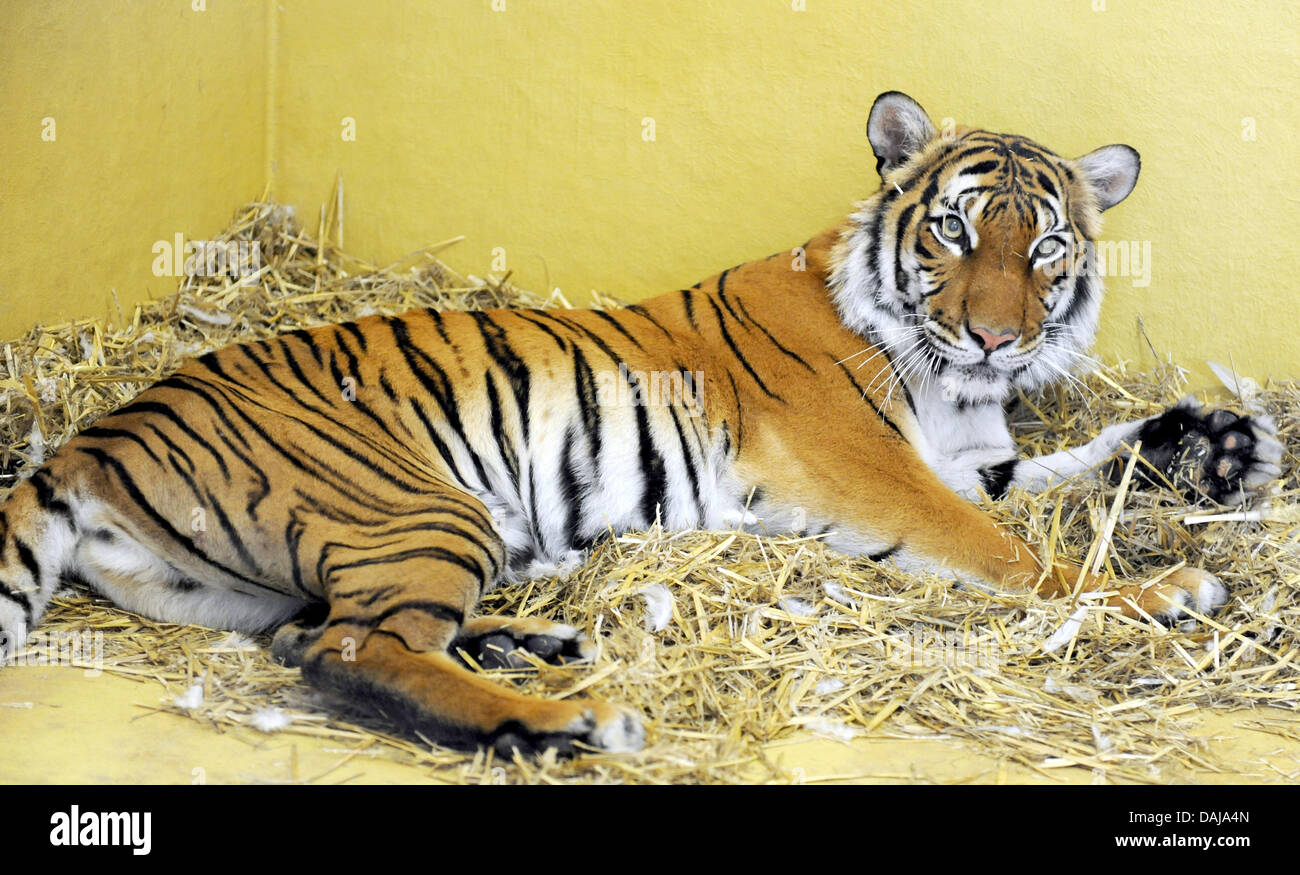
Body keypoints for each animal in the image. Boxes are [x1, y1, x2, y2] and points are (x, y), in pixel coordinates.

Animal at [0, 91, 1284, 757]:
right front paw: (1157, 591)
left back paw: (543, 644)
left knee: (319, 634)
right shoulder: (871, 470)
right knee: (347, 651)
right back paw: (570, 717)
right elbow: (1015, 555)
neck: (950, 382)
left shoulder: (977, 459)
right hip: (423, 502)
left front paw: (1211, 445)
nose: (997, 337)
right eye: (957, 232)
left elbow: (1072, 471)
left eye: (1048, 243)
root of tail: (86, 436)